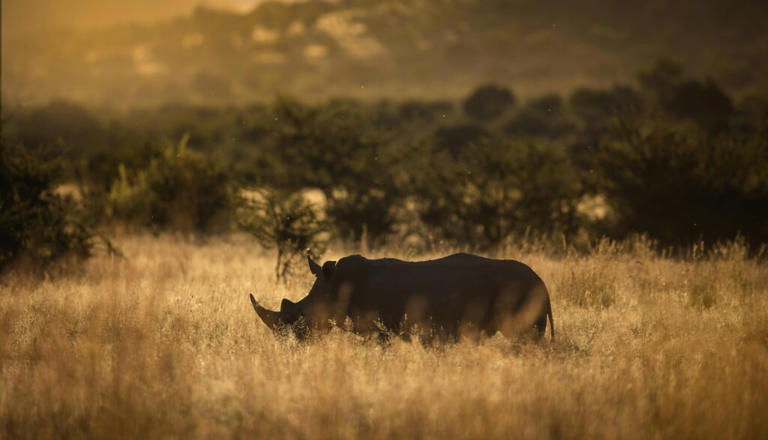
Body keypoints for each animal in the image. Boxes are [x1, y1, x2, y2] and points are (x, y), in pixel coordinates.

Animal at [250, 253, 554, 342]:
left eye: (304, 317)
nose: (290, 341)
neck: (337, 284)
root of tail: (543, 284)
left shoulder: (380, 329)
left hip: (524, 294)